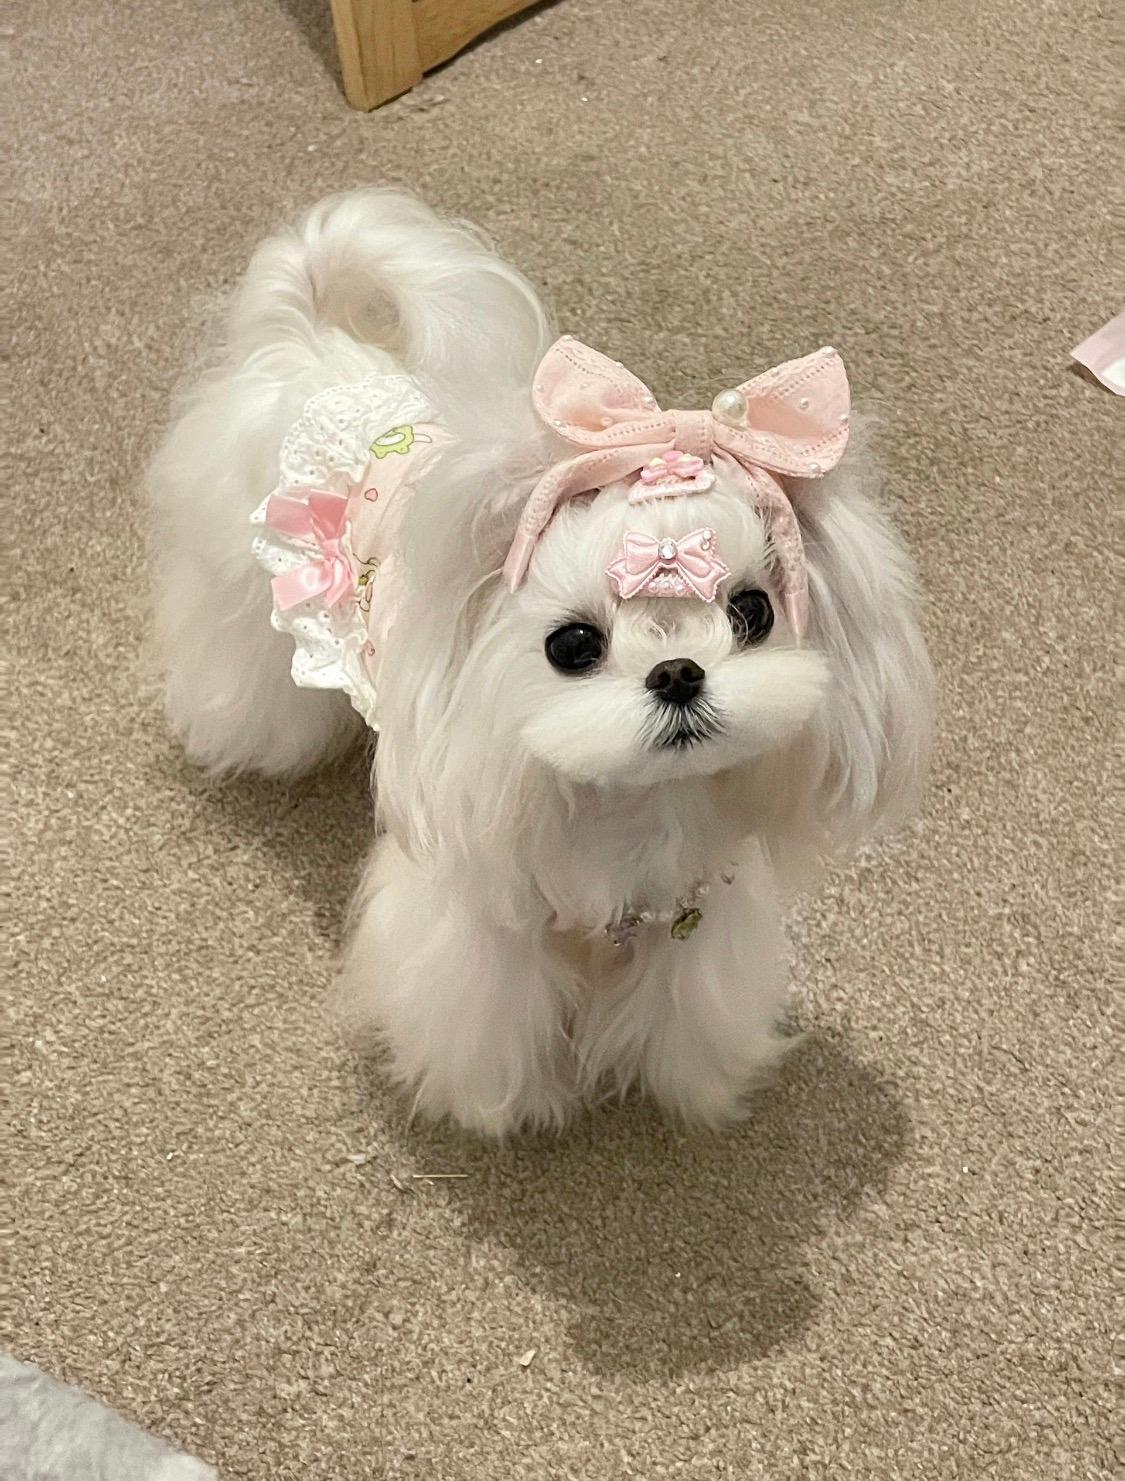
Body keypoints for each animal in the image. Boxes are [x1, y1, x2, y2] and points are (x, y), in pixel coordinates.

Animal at [148, 189, 933, 1137]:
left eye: (752, 611)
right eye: (572, 646)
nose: (678, 672)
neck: (631, 808)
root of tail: (310, 341)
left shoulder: (694, 917)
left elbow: (681, 1002)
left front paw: (687, 1082)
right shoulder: (481, 927)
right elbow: (489, 1018)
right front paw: (506, 1107)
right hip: (244, 598)